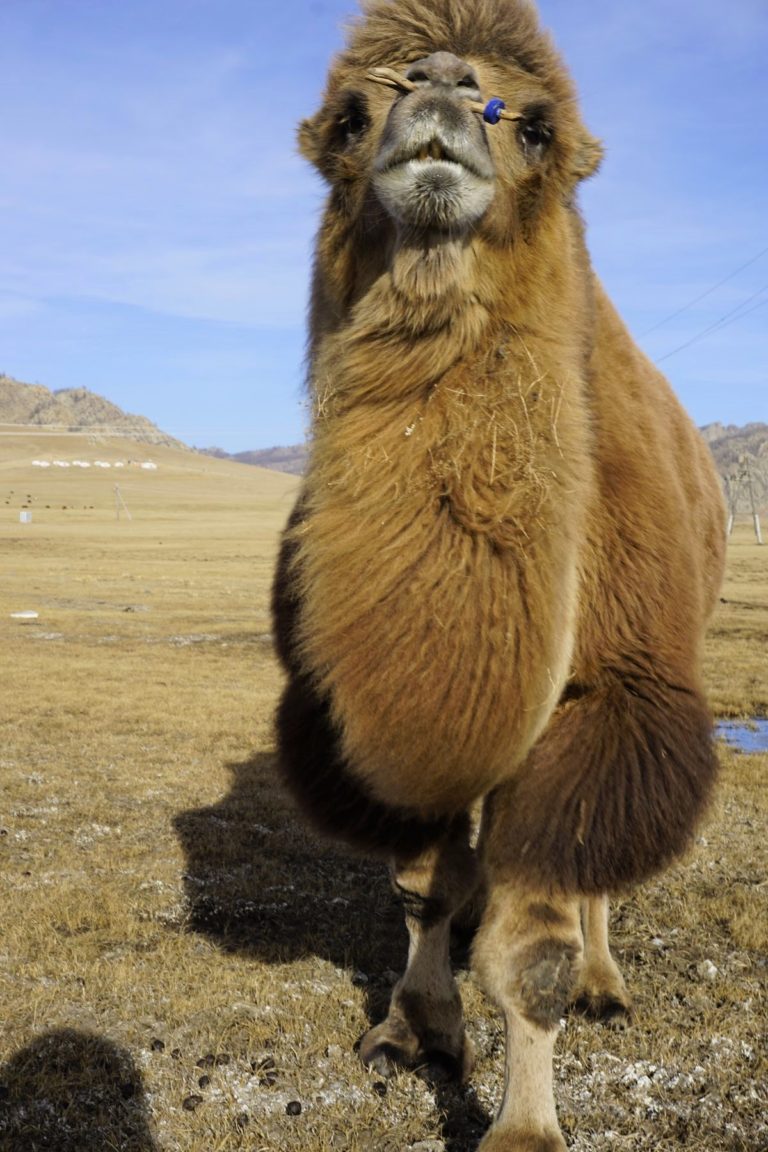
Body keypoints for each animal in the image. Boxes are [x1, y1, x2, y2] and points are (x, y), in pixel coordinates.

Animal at [271, 1, 727, 1147]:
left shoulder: (604, 693)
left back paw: (609, 984)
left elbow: (535, 947)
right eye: (352, 117)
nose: (438, 89)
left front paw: (523, 1126)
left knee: (596, 875)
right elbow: (427, 885)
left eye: (534, 127)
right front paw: (413, 1030)